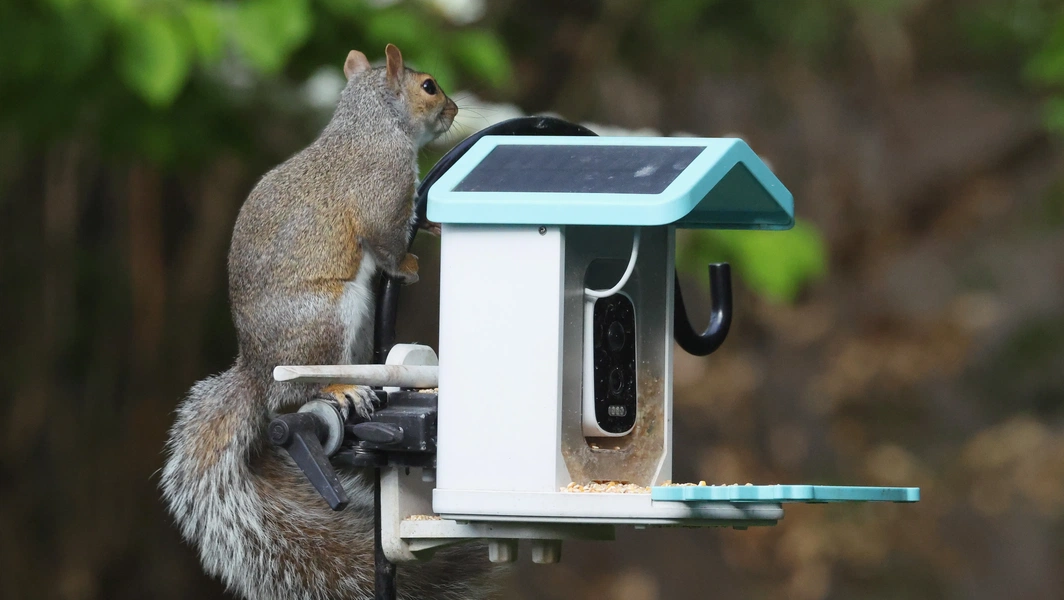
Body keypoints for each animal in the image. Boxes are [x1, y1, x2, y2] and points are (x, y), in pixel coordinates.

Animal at [160, 45, 497, 600]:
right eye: (428, 86)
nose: (452, 110)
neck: (369, 124)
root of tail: (257, 369)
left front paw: (430, 224)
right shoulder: (384, 187)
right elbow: (386, 241)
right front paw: (408, 265)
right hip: (328, 315)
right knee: (303, 387)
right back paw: (340, 388)